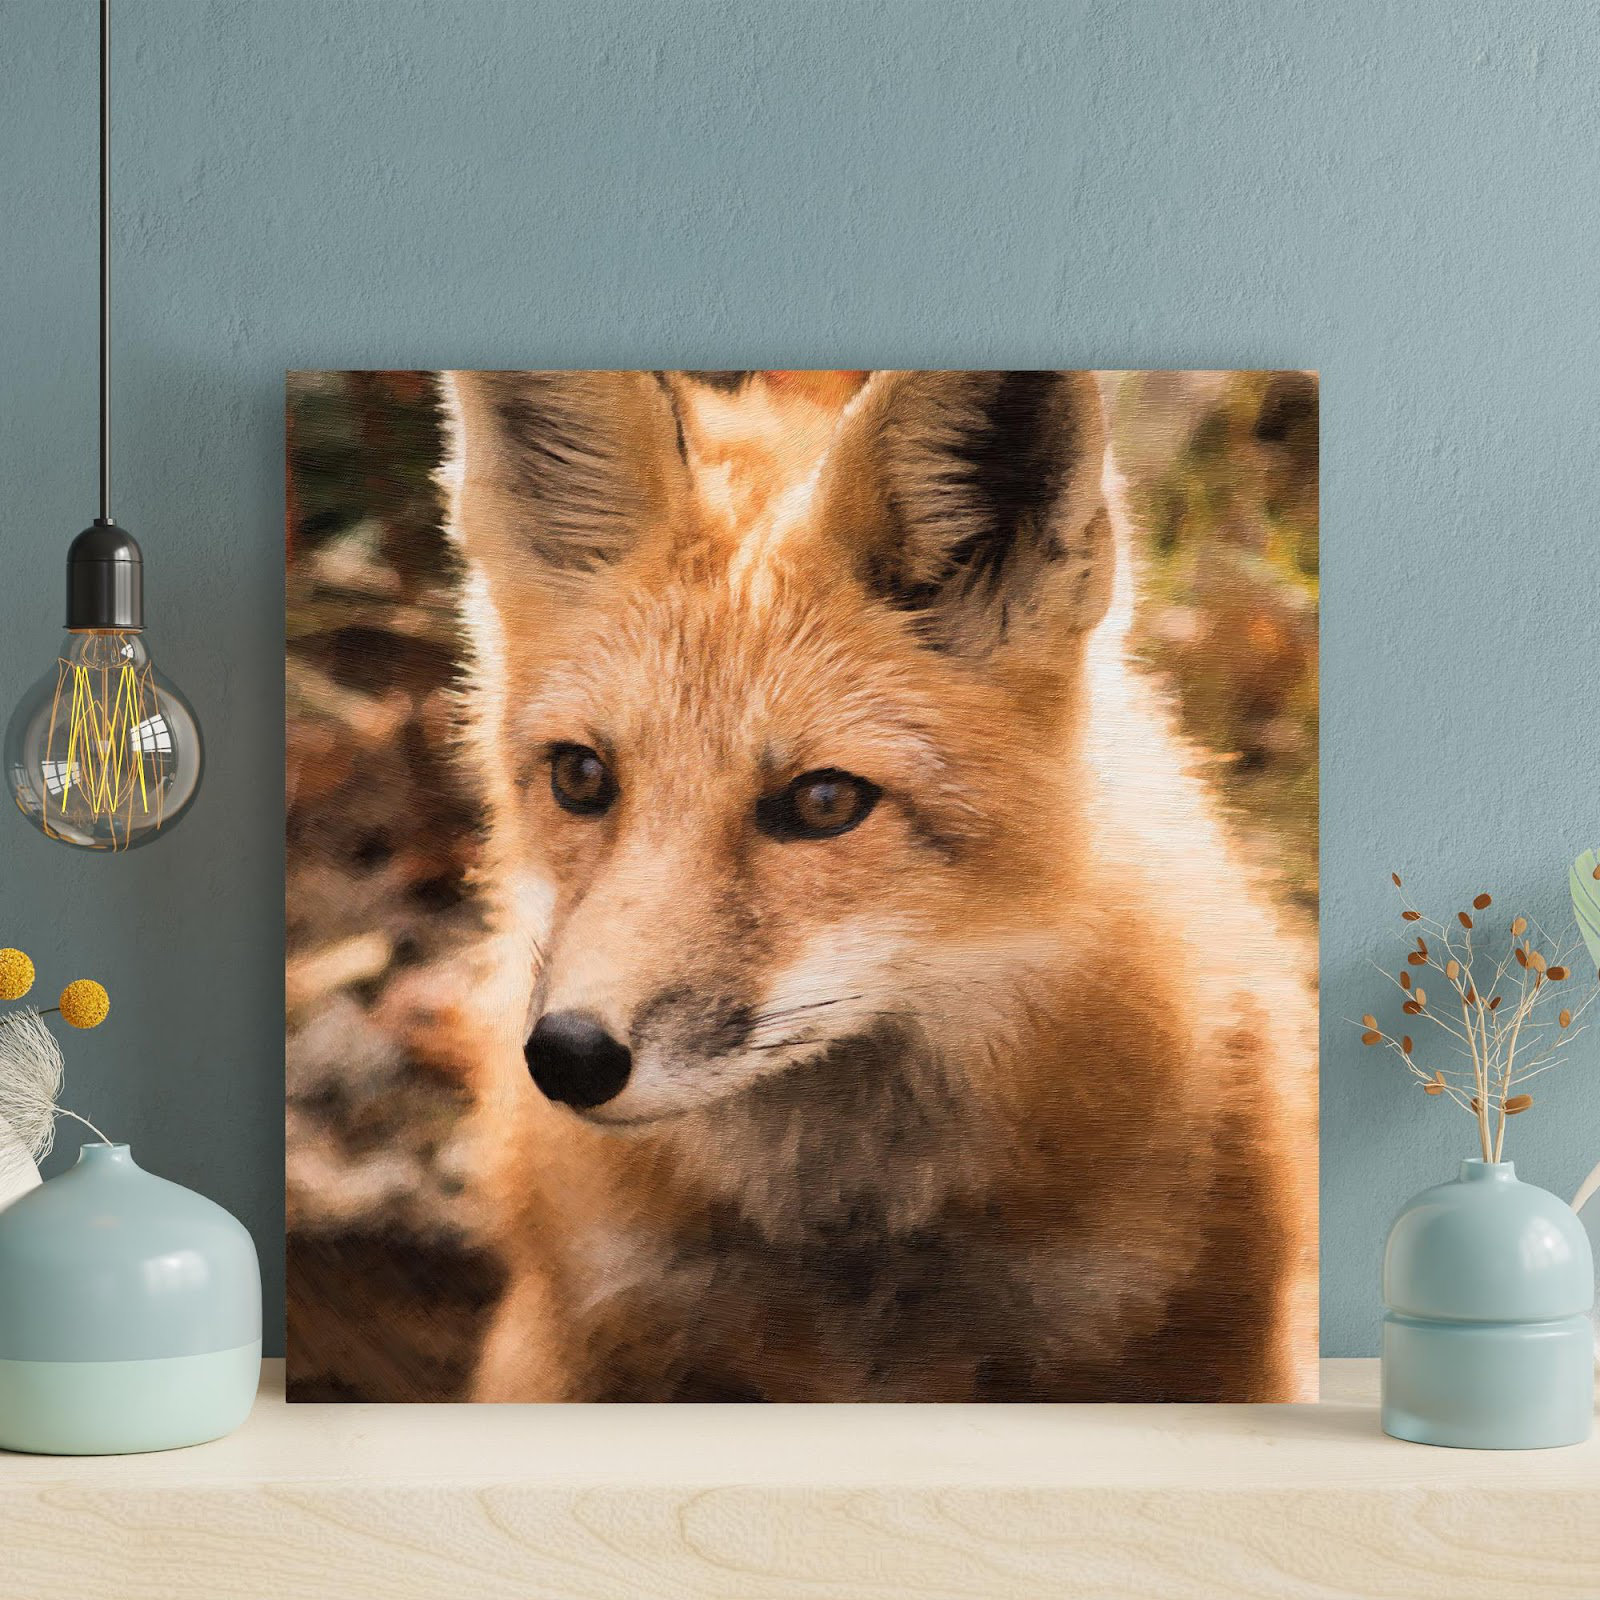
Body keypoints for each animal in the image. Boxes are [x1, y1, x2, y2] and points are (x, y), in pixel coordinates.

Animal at [439, 368, 1318, 1403]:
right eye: (581, 777)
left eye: (824, 801)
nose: (569, 1056)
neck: (859, 1244)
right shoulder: (582, 1335)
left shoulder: (1205, 1343)